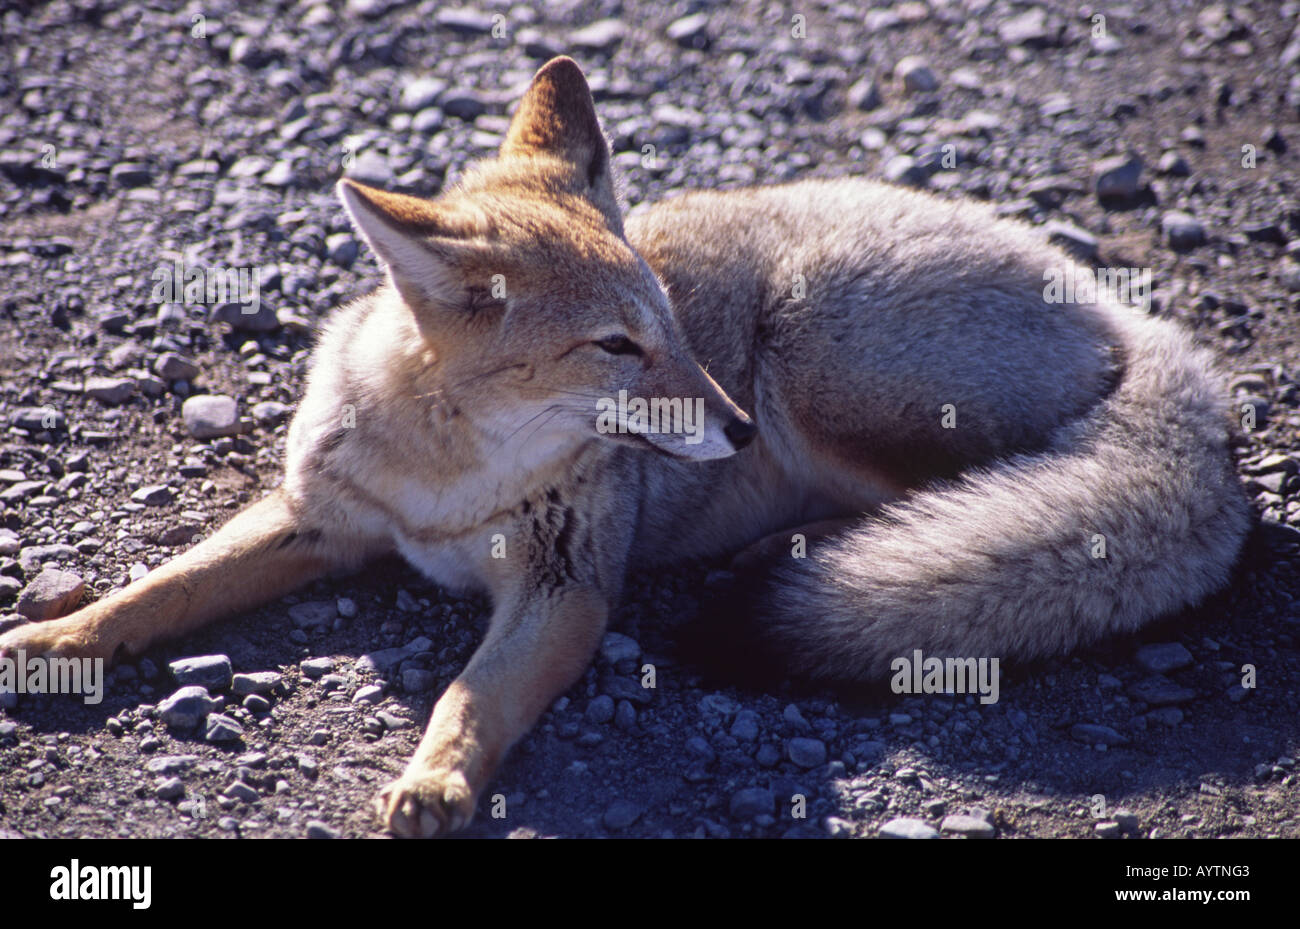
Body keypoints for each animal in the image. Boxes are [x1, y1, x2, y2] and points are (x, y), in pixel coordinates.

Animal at [0, 56, 1250, 837]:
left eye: (671, 329)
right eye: (617, 345)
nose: (731, 427)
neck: (444, 479)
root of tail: (1122, 312)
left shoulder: (567, 586)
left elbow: (471, 695)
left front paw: (434, 780)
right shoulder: (317, 518)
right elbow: (161, 588)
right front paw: (58, 633)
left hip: (811, 360)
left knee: (983, 494)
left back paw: (806, 553)